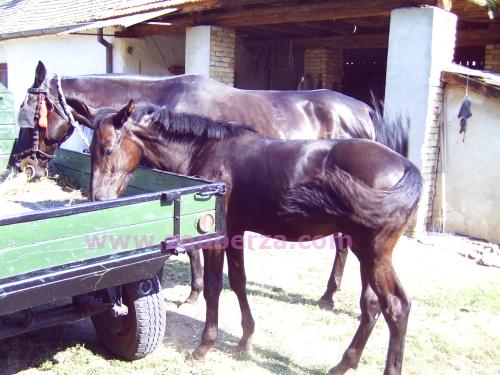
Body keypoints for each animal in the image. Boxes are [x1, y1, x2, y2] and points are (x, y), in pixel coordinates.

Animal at [14, 61, 406, 308]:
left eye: (30, 114)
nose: (24, 165)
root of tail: (363, 111)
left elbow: (193, 246)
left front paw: (194, 293)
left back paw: (332, 295)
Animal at [89, 100, 422, 375]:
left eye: (108, 149)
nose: (98, 199)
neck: (207, 150)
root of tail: (408, 168)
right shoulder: (235, 232)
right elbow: (238, 282)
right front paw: (246, 339)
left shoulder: (216, 238)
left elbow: (213, 288)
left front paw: (204, 347)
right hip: (364, 252)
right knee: (371, 306)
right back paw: (343, 363)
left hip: (373, 253)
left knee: (396, 307)